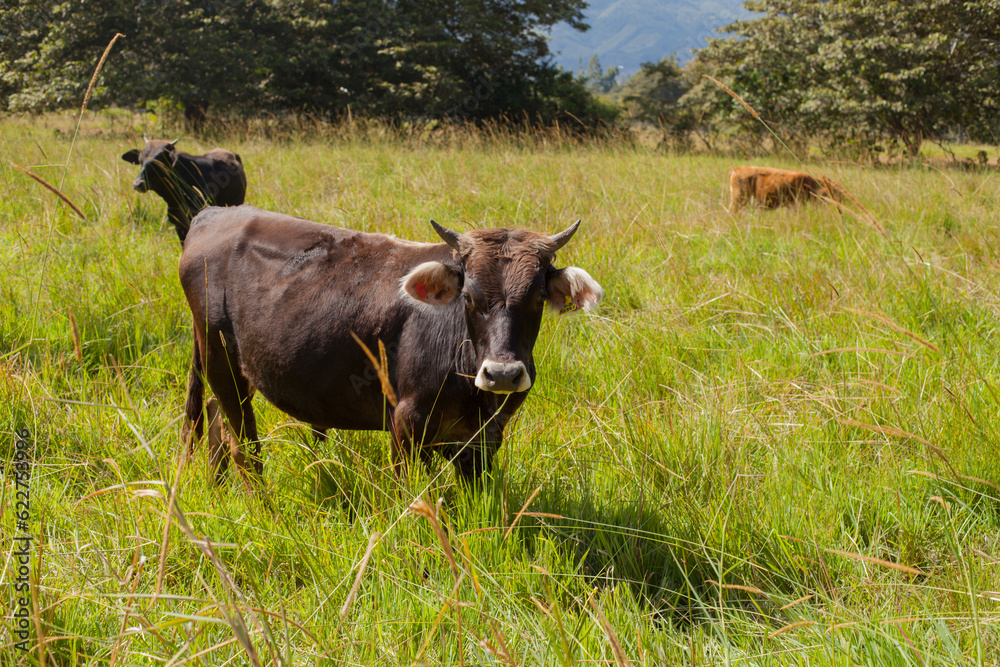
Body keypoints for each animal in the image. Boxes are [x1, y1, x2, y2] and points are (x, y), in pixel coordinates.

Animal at [179, 205, 603, 483]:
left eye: (537, 299)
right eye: (468, 297)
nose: (502, 374)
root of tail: (214, 214)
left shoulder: (484, 436)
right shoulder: (406, 424)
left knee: (215, 422)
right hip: (219, 360)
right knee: (244, 449)